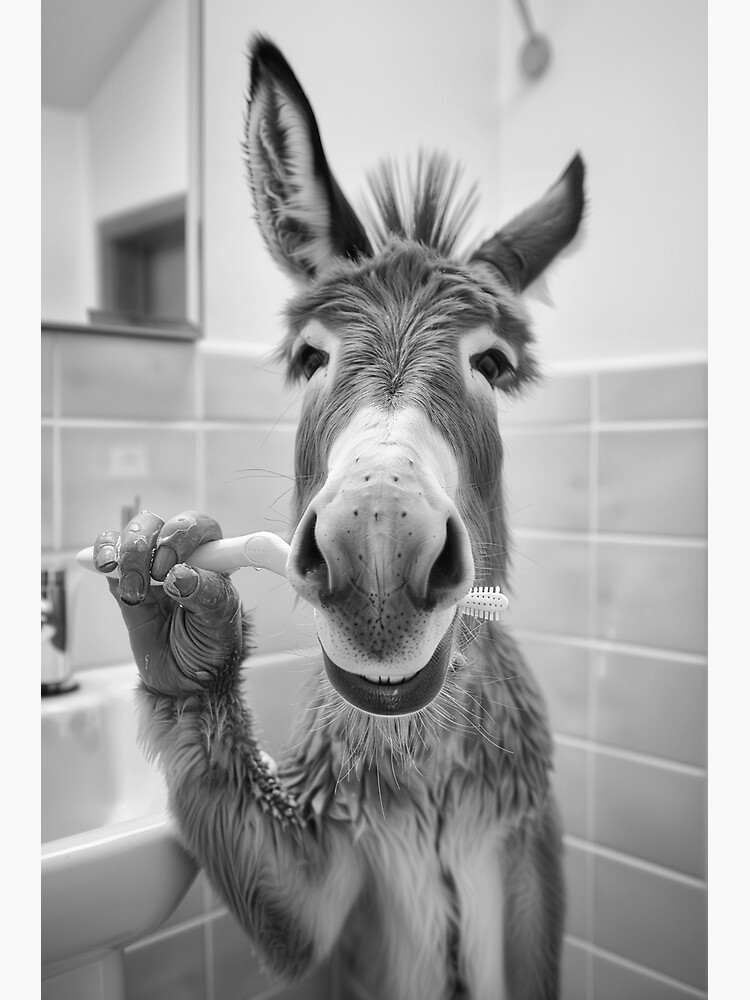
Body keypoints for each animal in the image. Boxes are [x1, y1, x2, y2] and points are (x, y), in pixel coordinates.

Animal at [94, 36, 585, 1000]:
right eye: (308, 357)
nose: (381, 547)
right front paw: (181, 633)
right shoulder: (316, 885)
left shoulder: (531, 849)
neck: (423, 756)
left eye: (494, 365)